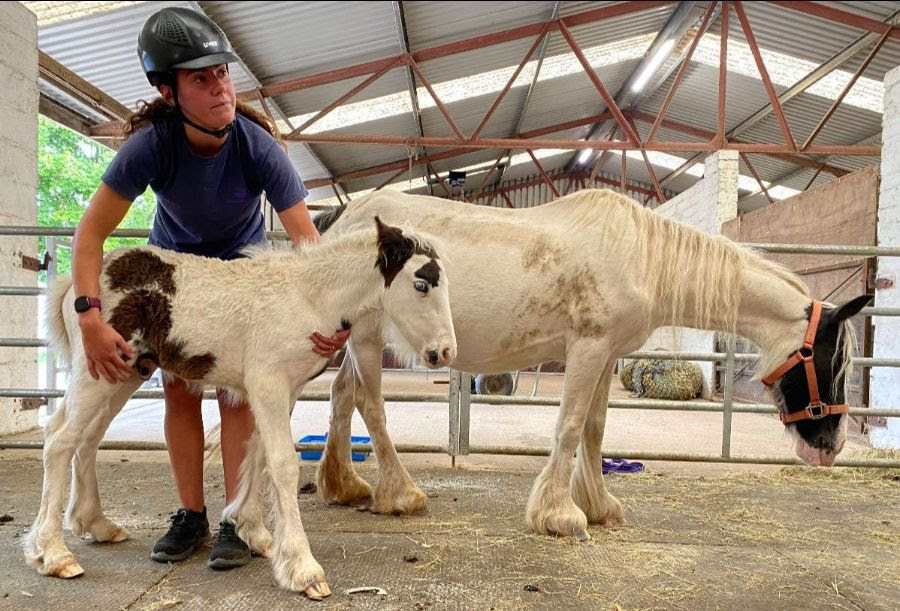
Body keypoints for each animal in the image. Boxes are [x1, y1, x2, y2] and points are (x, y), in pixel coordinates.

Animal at [23, 218, 456, 599]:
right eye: (421, 283)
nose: (445, 352)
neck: (307, 298)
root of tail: (75, 286)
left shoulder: (282, 390)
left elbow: (258, 455)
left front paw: (252, 532)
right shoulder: (268, 384)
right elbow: (283, 464)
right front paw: (302, 569)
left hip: (122, 375)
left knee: (87, 439)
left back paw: (96, 525)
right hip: (97, 374)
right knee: (59, 441)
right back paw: (54, 555)